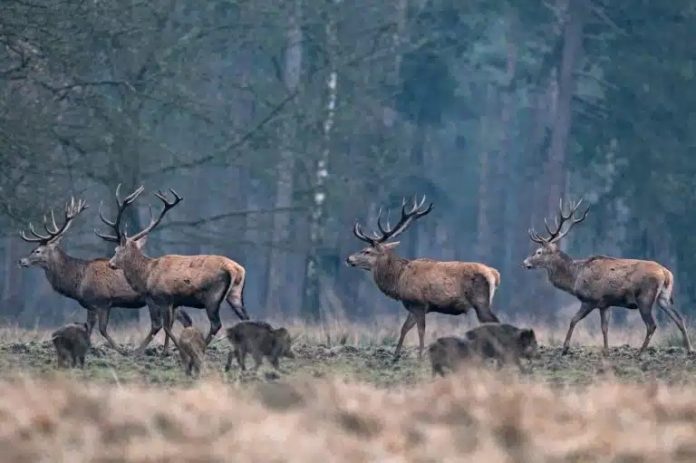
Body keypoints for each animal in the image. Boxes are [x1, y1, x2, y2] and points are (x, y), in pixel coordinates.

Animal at [102, 186, 249, 352]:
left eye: (116, 250)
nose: (110, 264)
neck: (147, 276)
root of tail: (234, 269)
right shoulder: (174, 302)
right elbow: (170, 325)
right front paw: (165, 351)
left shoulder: (161, 297)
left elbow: (161, 326)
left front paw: (141, 351)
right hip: (235, 294)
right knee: (246, 319)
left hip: (212, 296)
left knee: (216, 324)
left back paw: (202, 348)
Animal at [346, 196, 501, 360]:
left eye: (367, 251)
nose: (348, 259)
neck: (398, 279)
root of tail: (494, 274)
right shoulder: (412, 305)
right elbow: (404, 328)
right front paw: (395, 356)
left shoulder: (419, 303)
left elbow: (421, 331)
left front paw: (420, 357)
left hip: (480, 301)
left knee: (494, 323)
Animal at [523, 198, 693, 356]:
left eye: (538, 252)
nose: (525, 263)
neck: (575, 278)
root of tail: (666, 273)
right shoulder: (606, 303)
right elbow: (604, 328)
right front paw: (606, 351)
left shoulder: (590, 299)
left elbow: (573, 320)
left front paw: (565, 349)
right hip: (664, 297)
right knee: (679, 319)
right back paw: (690, 349)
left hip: (645, 297)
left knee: (652, 325)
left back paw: (640, 353)